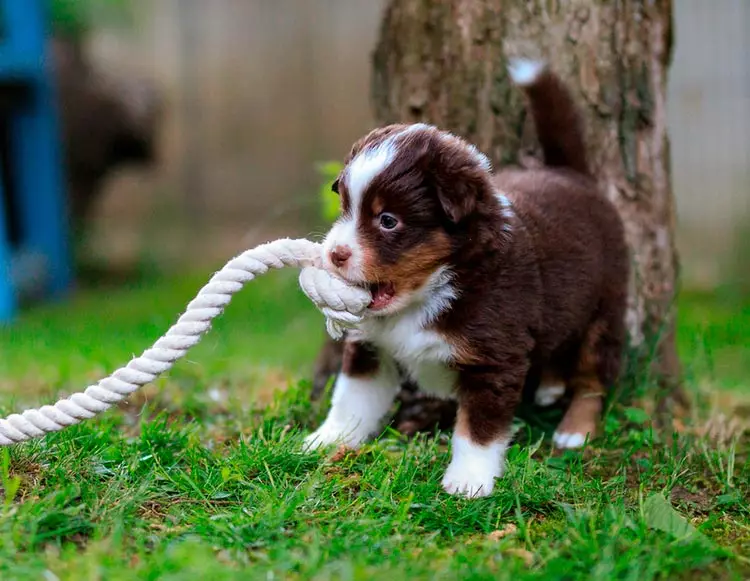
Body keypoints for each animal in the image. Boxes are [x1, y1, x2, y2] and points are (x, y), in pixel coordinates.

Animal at [304, 60, 628, 498]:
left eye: (388, 221)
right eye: (345, 208)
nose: (335, 255)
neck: (432, 291)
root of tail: (570, 174)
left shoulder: (494, 360)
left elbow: (478, 430)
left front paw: (469, 481)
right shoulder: (371, 346)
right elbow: (351, 399)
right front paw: (328, 439)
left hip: (605, 309)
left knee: (593, 373)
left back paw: (575, 428)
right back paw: (549, 386)